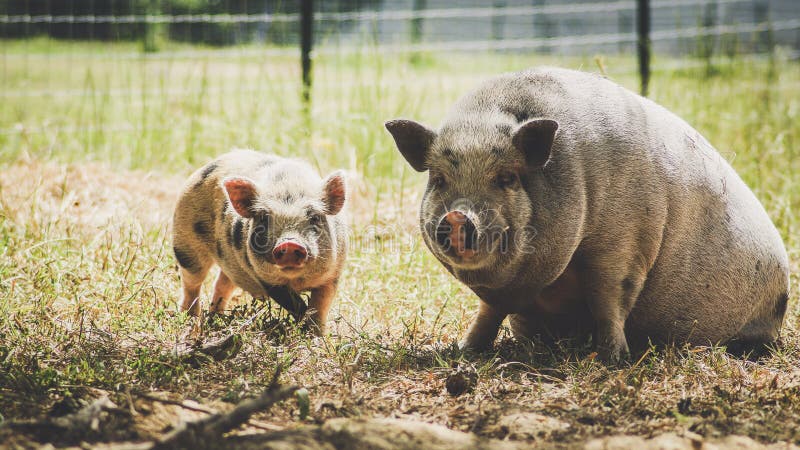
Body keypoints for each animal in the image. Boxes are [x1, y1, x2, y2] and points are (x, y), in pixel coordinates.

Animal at [172, 150, 348, 333]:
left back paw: (216, 319)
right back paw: (190, 320)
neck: (297, 280)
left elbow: (319, 307)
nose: (289, 243)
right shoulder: (264, 278)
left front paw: (318, 335)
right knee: (192, 284)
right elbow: (294, 304)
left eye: (314, 217)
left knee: (221, 284)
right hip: (184, 241)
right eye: (264, 217)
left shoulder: (333, 275)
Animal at [386, 67, 790, 362]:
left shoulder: (624, 244)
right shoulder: (501, 295)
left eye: (506, 178)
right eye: (439, 179)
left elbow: (609, 299)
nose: (457, 218)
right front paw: (462, 352)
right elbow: (488, 312)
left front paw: (610, 359)